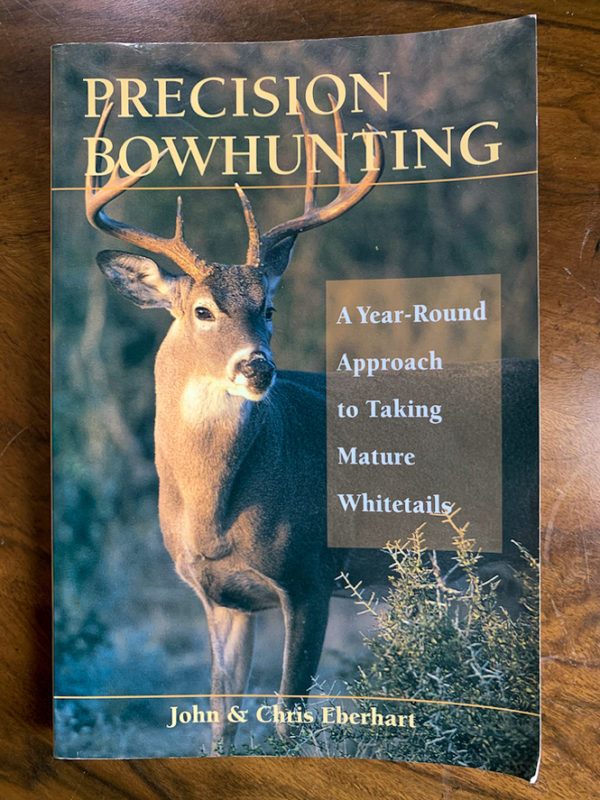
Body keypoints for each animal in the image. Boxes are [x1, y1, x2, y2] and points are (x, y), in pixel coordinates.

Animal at [85, 99, 383, 752]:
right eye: (203, 310)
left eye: (268, 308)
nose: (257, 366)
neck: (213, 511)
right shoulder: (221, 596)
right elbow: (222, 719)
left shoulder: (310, 573)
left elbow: (288, 715)